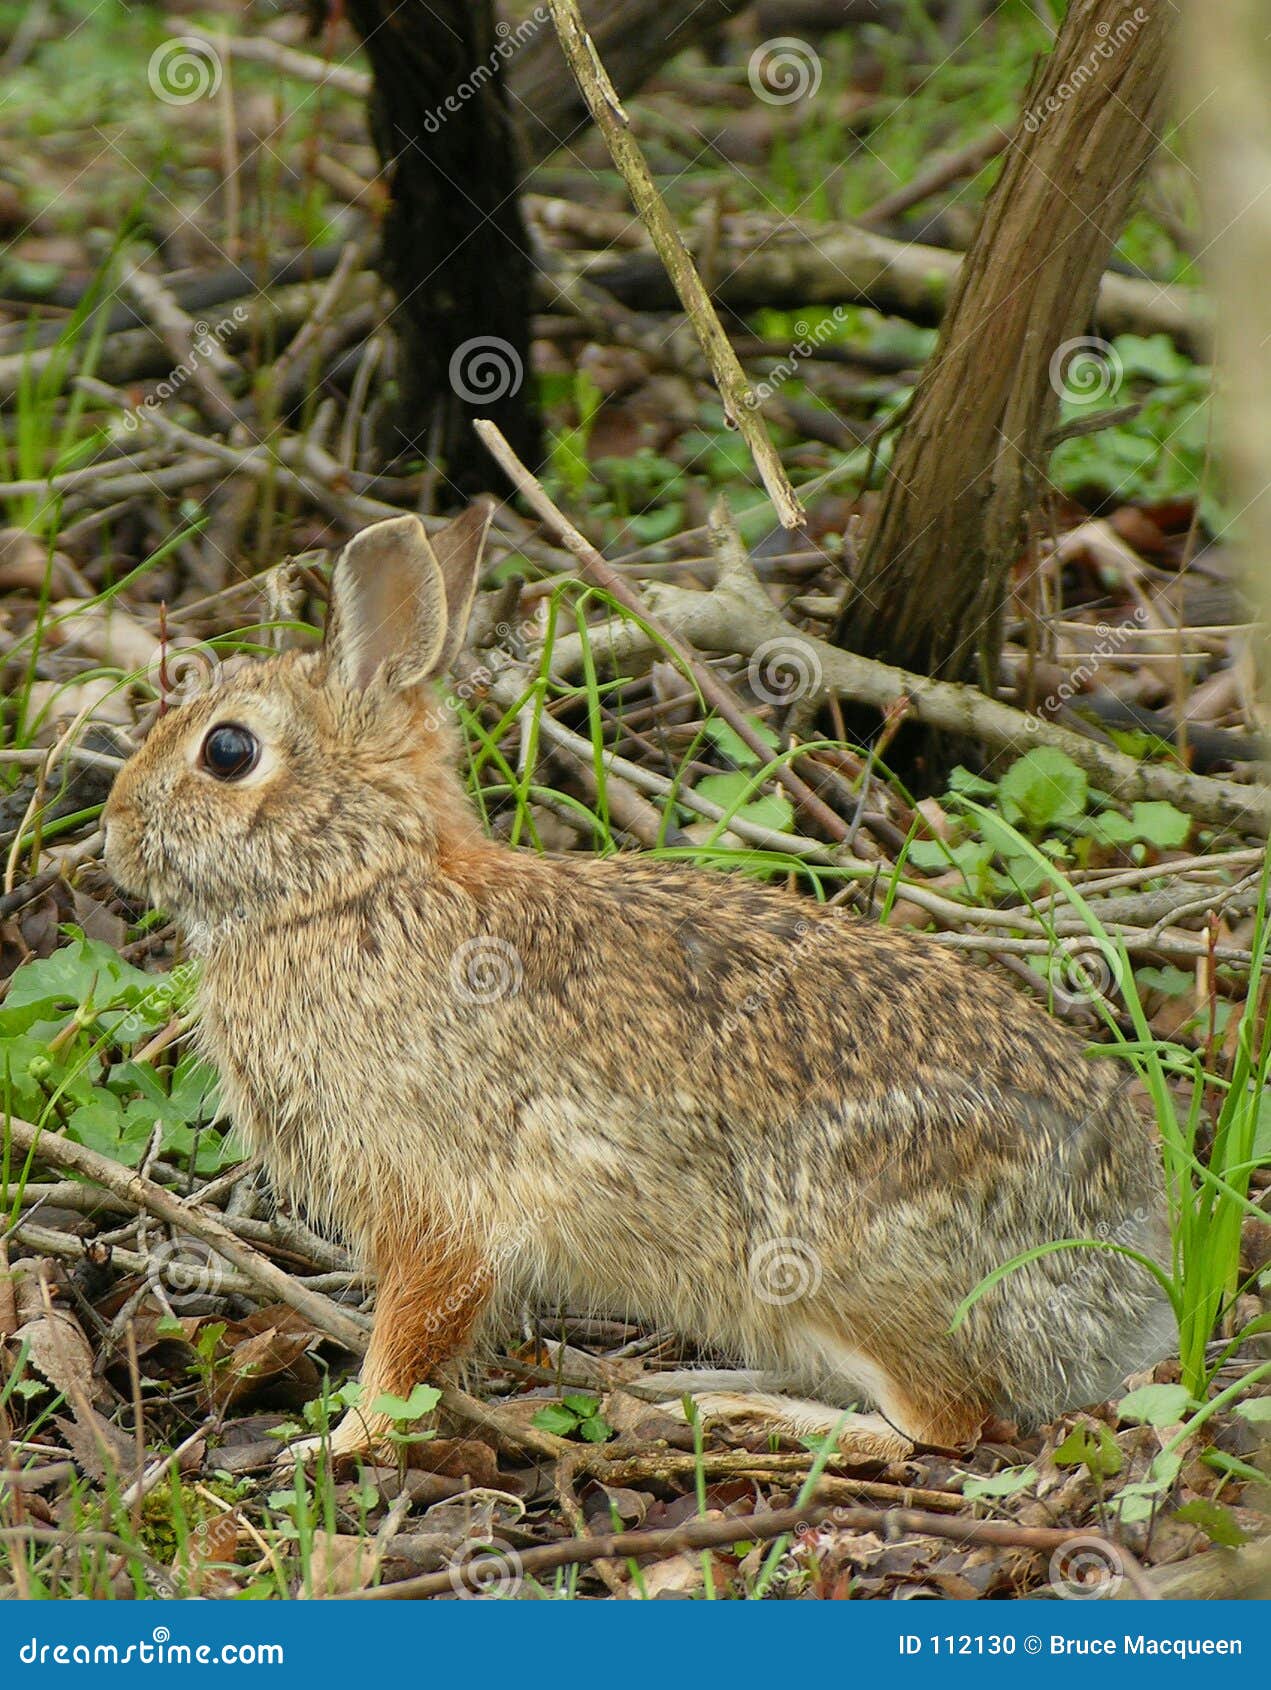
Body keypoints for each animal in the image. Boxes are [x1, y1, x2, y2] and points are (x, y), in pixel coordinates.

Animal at [102, 502, 1174, 1464]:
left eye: (227, 751)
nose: (113, 829)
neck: (350, 883)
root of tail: (1124, 1258)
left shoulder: (434, 1209)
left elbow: (407, 1346)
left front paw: (335, 1444)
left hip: (837, 1271)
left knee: (941, 1425)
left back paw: (746, 1415)